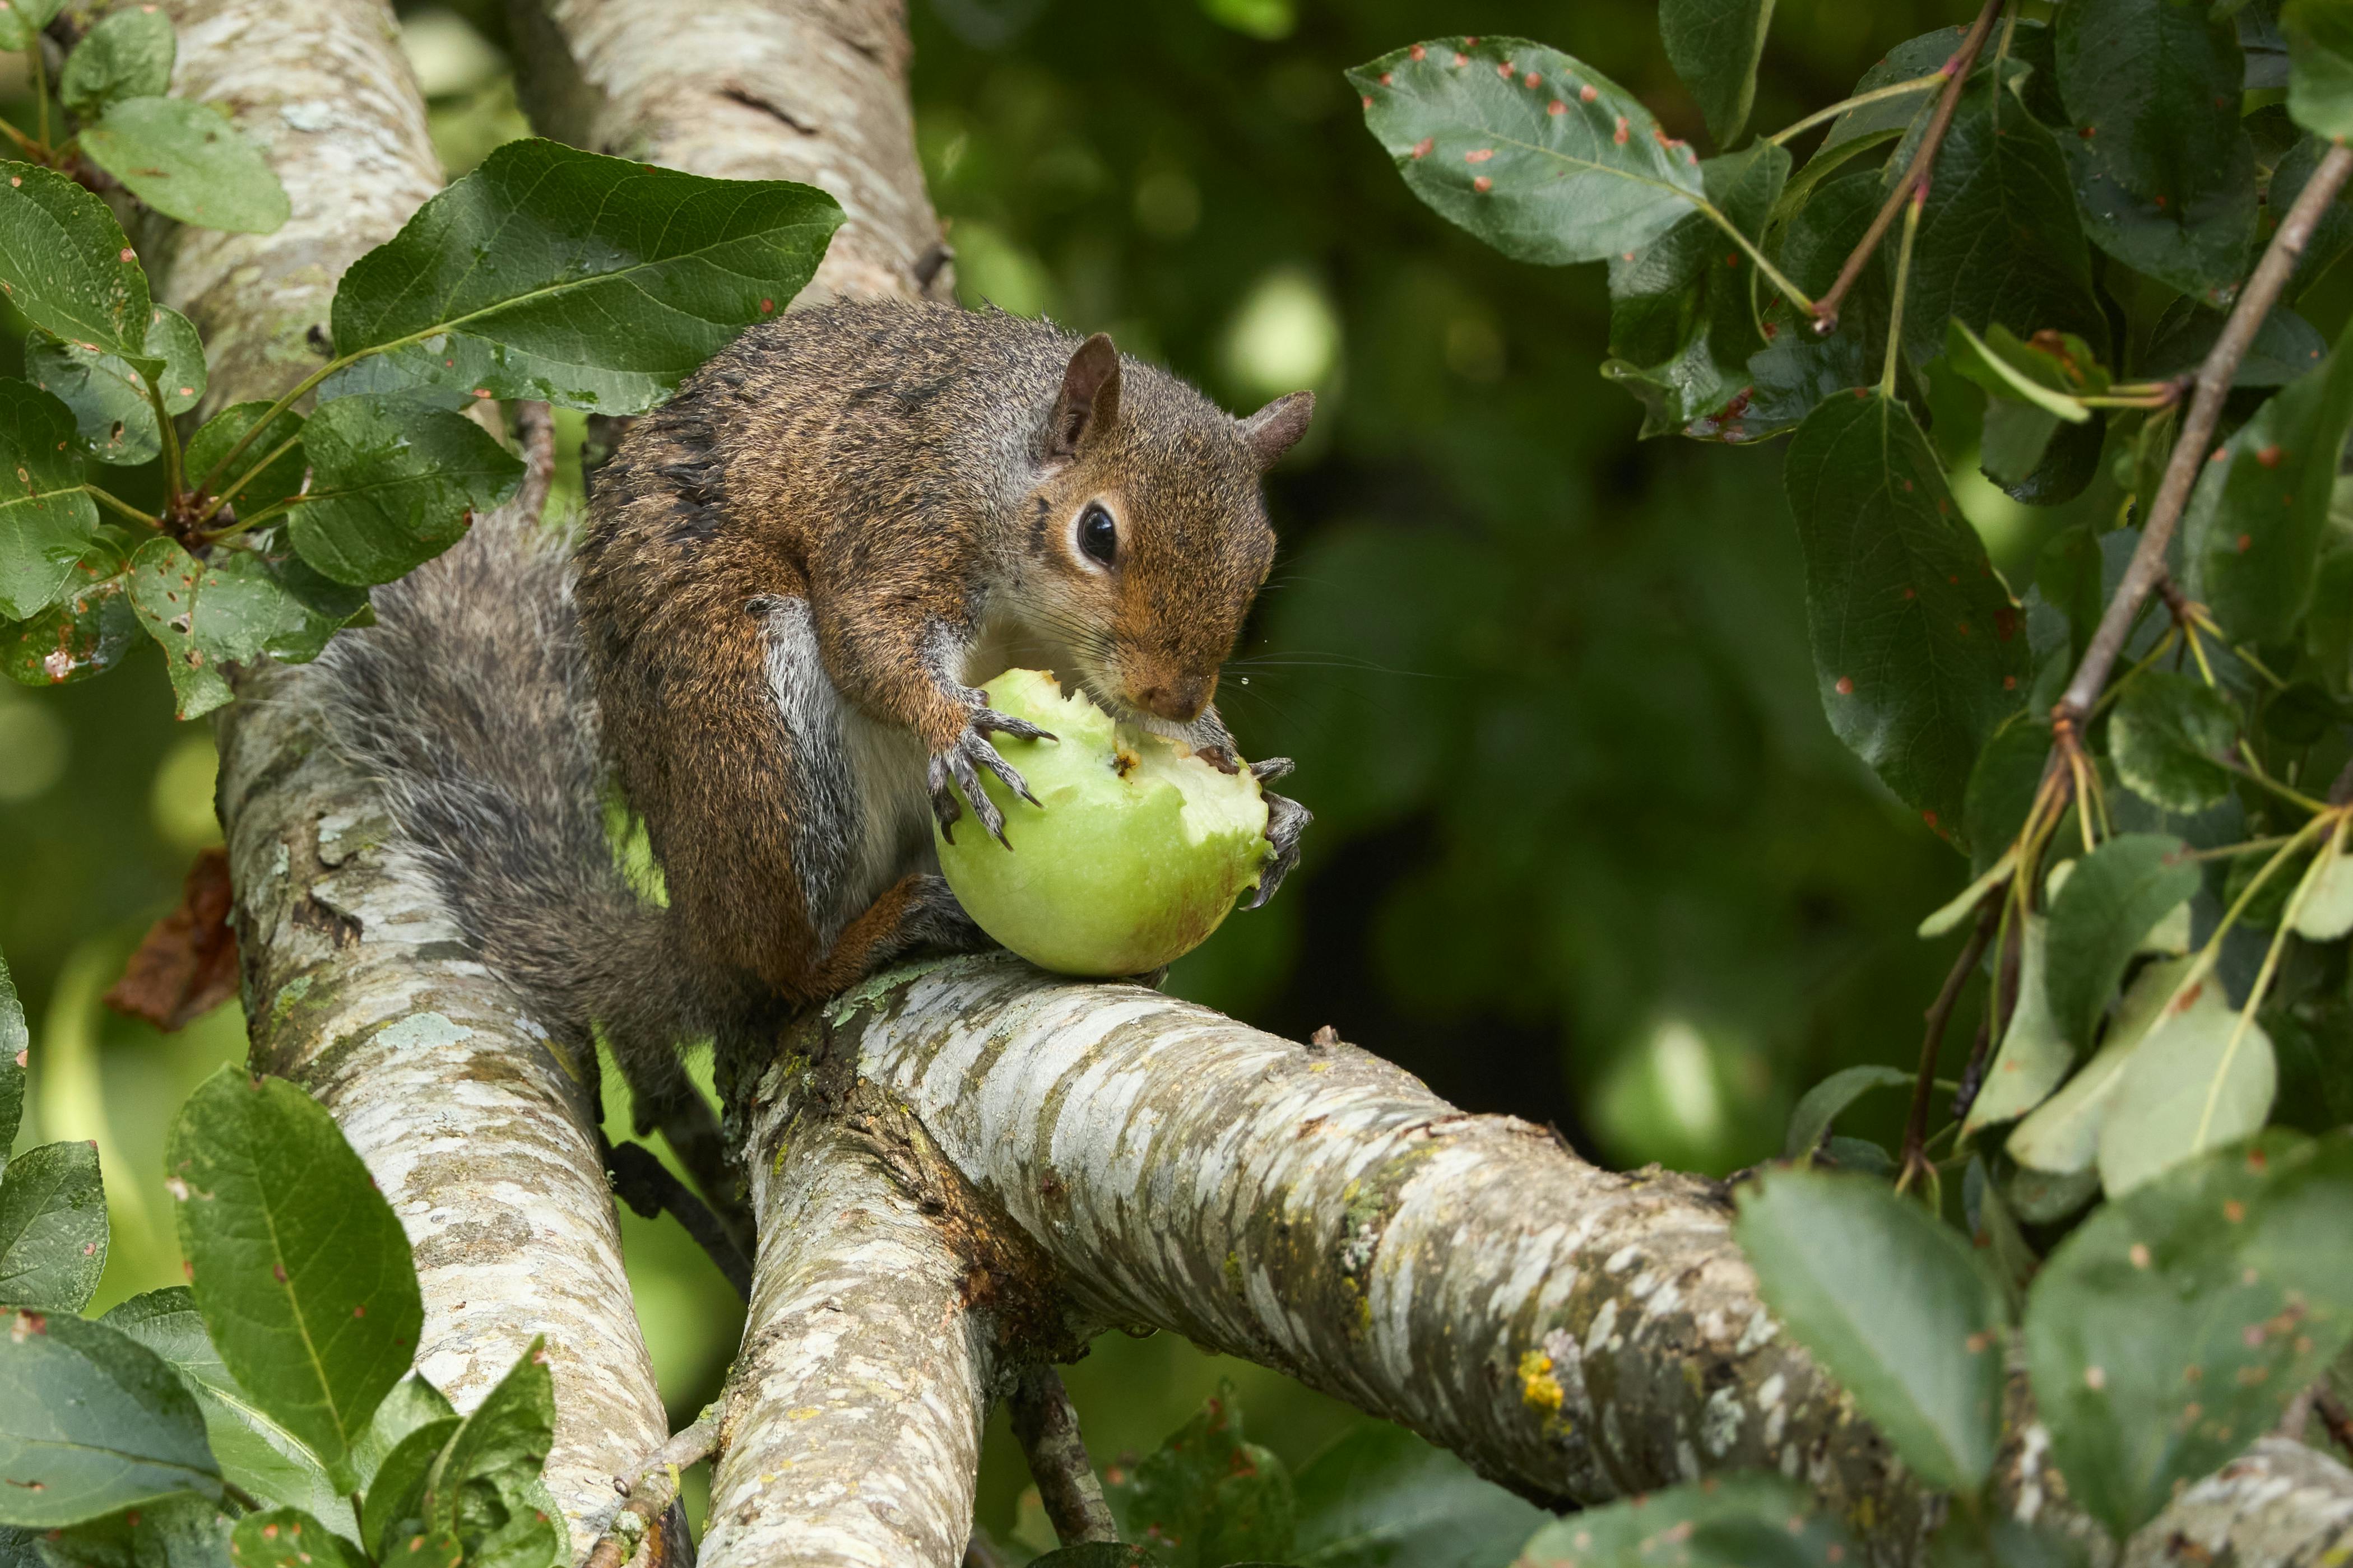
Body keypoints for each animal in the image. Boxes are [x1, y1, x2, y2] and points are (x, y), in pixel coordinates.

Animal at [313, 298, 1313, 1205]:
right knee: (785, 970)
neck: (999, 460)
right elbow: (868, 641)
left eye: (1260, 558)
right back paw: (876, 930)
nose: (1173, 695)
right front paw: (955, 728)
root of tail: (697, 928)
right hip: (758, 727)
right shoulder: (903, 516)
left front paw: (1258, 791)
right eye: (1097, 532)